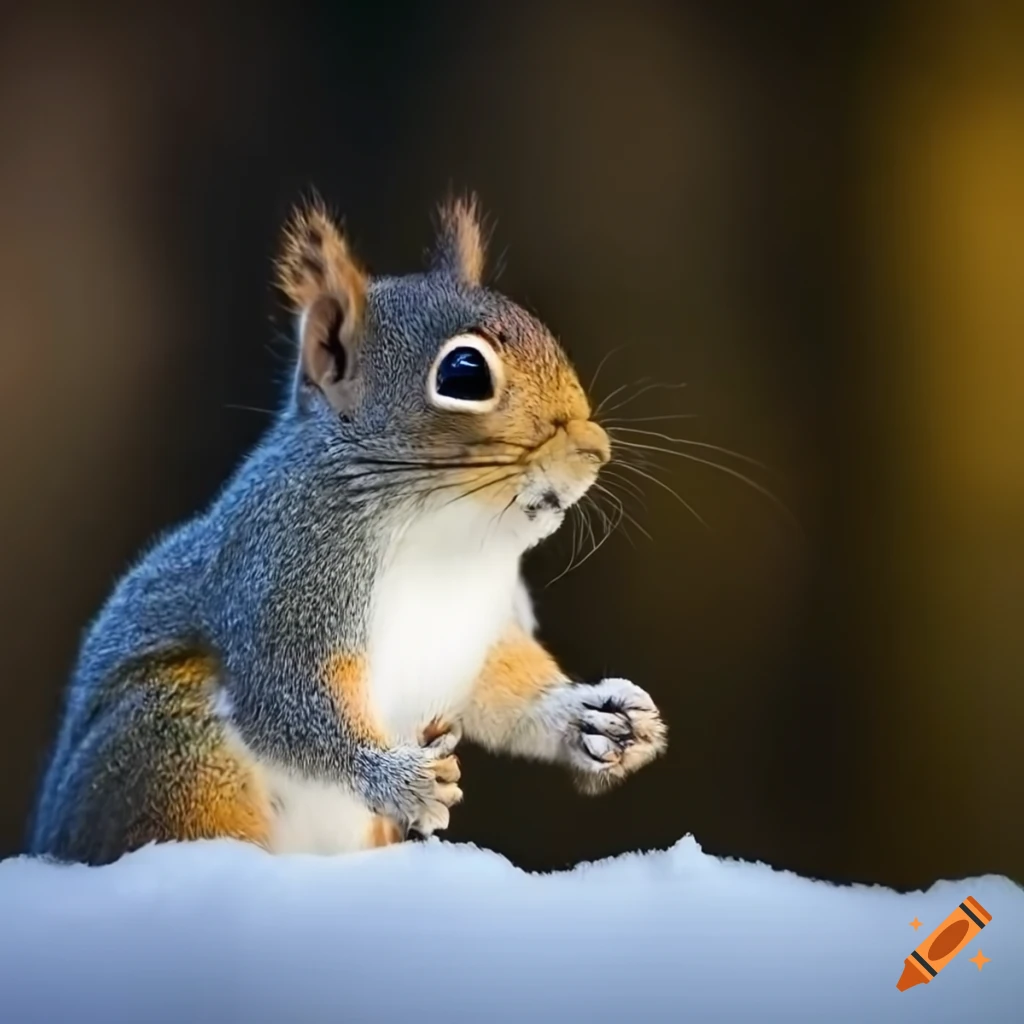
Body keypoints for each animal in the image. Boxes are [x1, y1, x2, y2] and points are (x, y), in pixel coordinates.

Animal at [29, 195, 668, 865]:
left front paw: (596, 717)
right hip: (171, 742)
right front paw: (401, 780)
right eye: (465, 373)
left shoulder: (480, 632)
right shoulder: (282, 576)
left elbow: (503, 685)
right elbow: (285, 700)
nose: (595, 451)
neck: (448, 539)